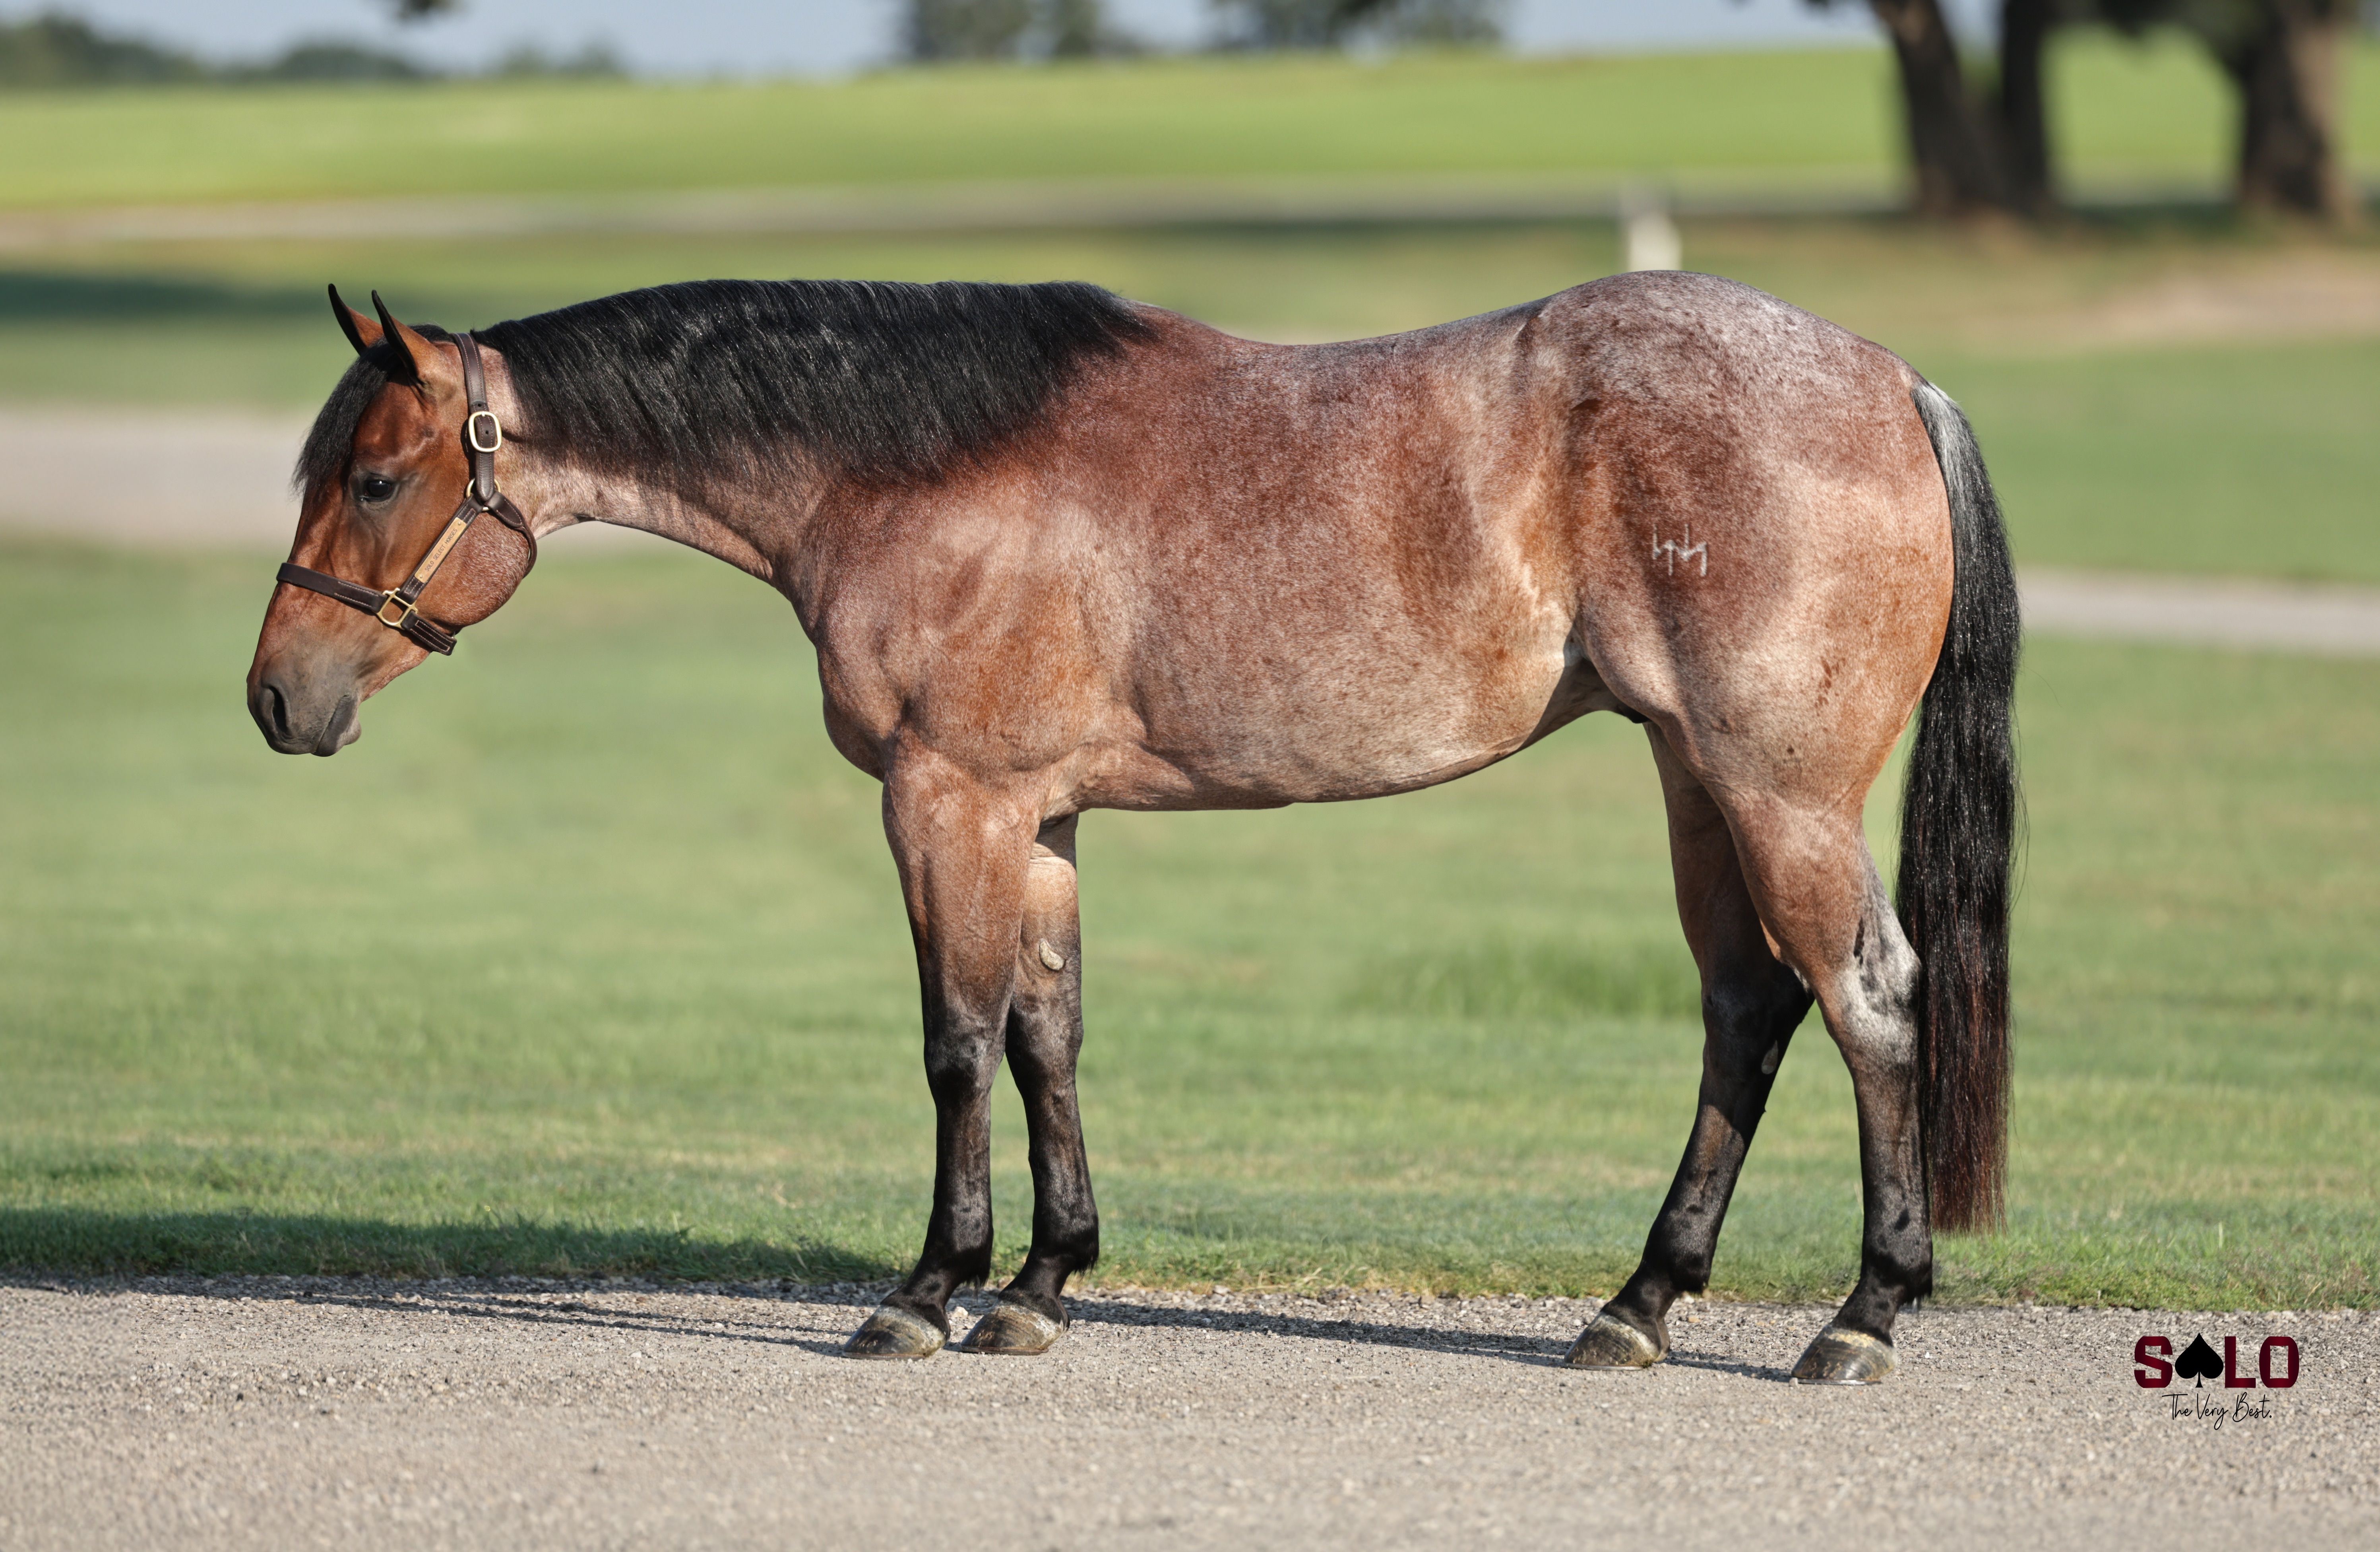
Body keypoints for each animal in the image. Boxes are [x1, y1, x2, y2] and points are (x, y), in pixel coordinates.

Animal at [247, 274, 2017, 1383]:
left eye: (381, 477)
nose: (278, 696)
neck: (916, 469)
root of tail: (1891, 380)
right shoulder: (1037, 817)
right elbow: (1049, 1036)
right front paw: (1041, 1285)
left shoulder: (944, 799)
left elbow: (957, 1043)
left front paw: (929, 1291)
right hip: (1690, 779)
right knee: (1746, 1010)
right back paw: (1640, 1304)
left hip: (1773, 789)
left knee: (1866, 999)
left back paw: (1862, 1314)